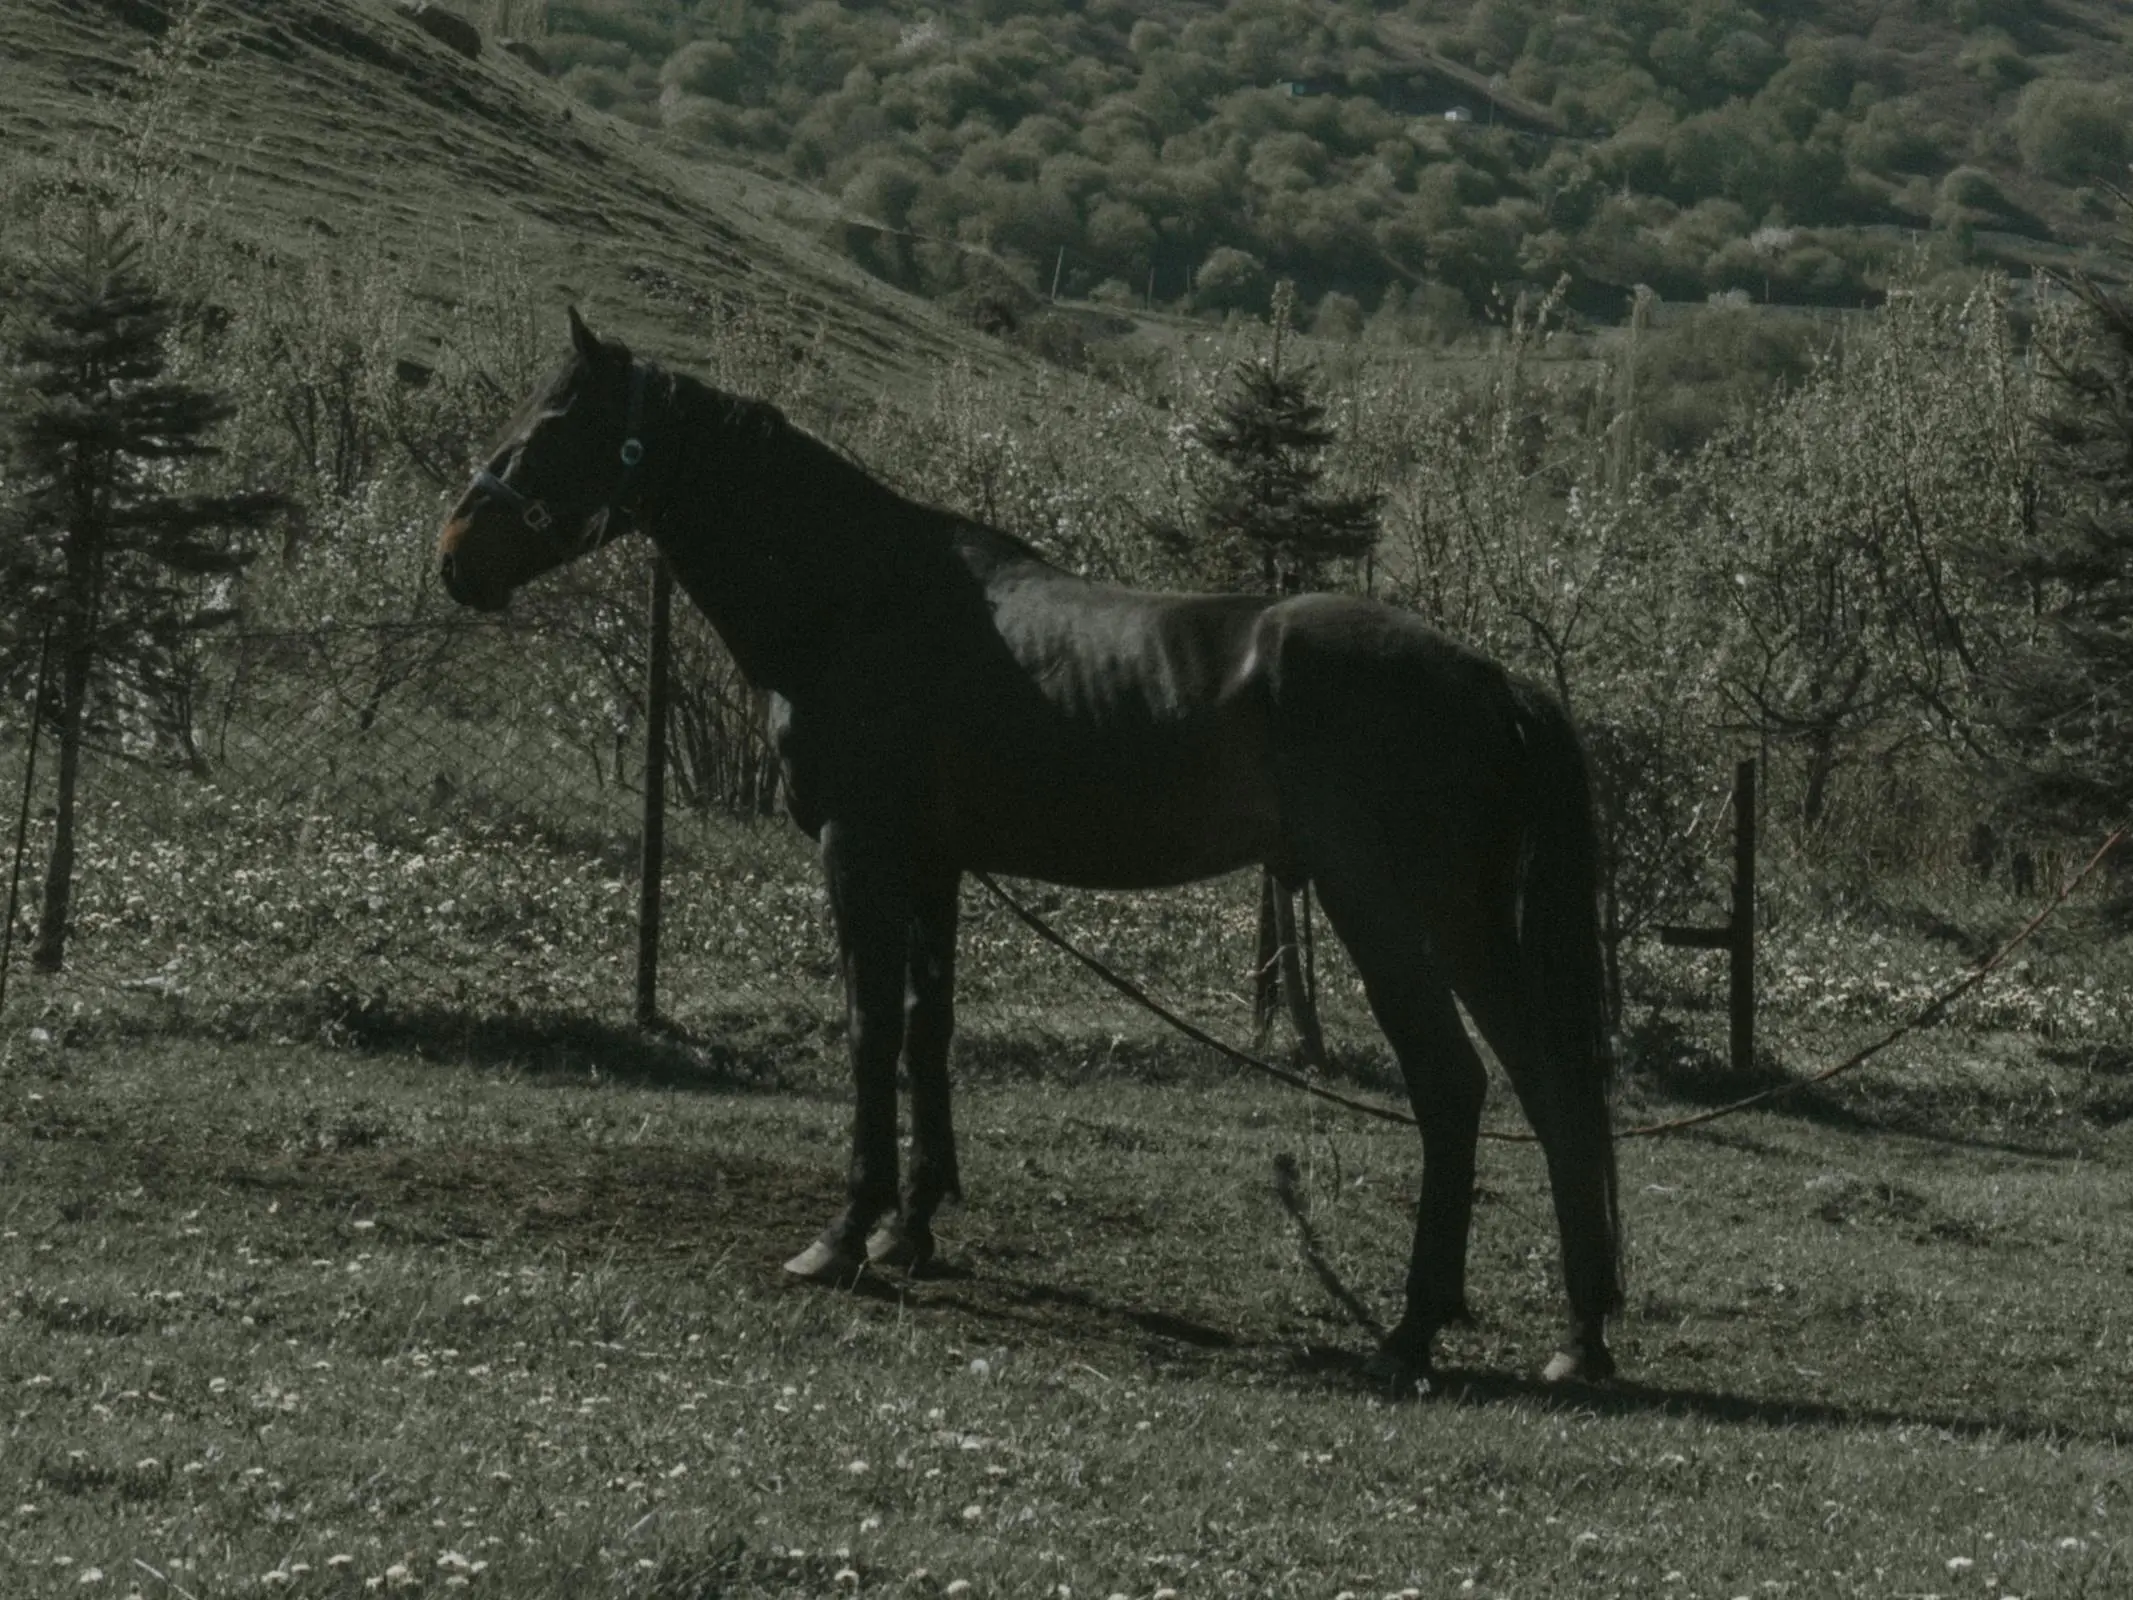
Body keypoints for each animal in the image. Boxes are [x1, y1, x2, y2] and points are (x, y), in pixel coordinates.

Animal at [436, 309, 1623, 1386]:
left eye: (551, 426)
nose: (453, 559)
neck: (860, 600)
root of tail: (1487, 678)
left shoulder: (861, 853)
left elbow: (870, 1030)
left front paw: (843, 1236)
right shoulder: (934, 866)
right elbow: (928, 1031)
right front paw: (910, 1229)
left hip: (1381, 910)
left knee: (1454, 1087)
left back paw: (1412, 1331)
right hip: (1467, 922)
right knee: (1550, 1087)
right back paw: (1579, 1339)